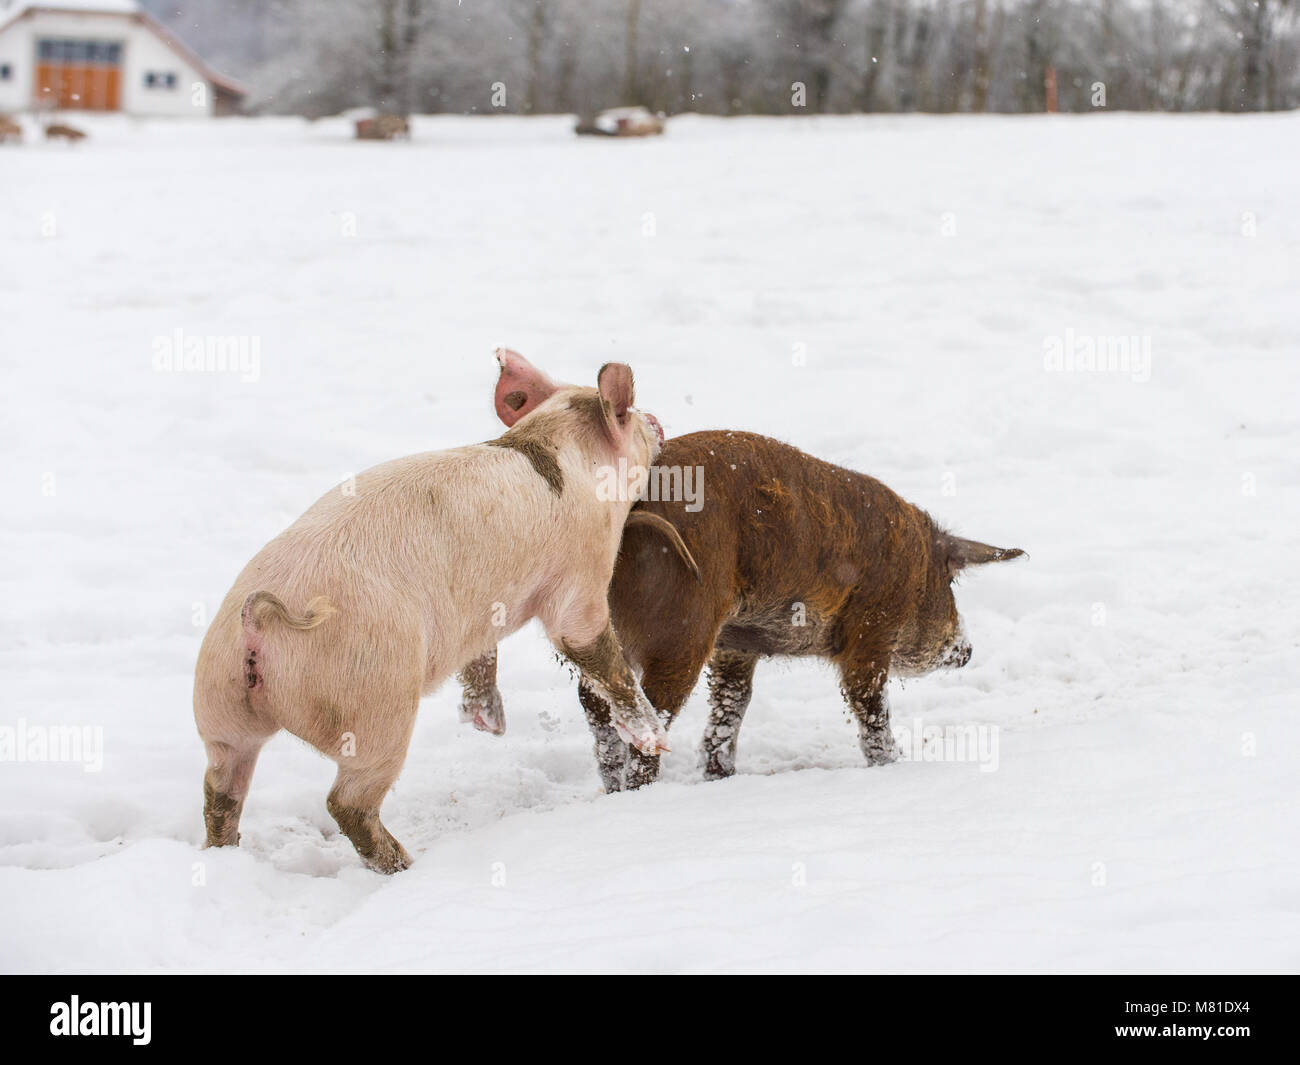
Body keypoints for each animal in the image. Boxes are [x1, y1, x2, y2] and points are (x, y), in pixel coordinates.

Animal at [194, 351, 669, 872]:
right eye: (633, 416)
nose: (656, 421)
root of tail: (258, 624)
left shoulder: (484, 614)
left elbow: (482, 655)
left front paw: (490, 726)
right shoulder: (581, 575)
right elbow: (594, 651)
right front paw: (656, 738)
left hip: (218, 701)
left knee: (220, 786)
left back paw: (224, 853)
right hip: (373, 701)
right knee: (346, 802)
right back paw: (406, 864)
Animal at [464, 366, 1024, 791]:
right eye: (950, 584)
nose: (966, 651)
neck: (910, 563)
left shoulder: (737, 646)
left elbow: (731, 708)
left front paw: (720, 777)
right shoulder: (870, 634)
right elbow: (870, 710)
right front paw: (892, 765)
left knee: (598, 704)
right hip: (683, 631)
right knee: (647, 712)